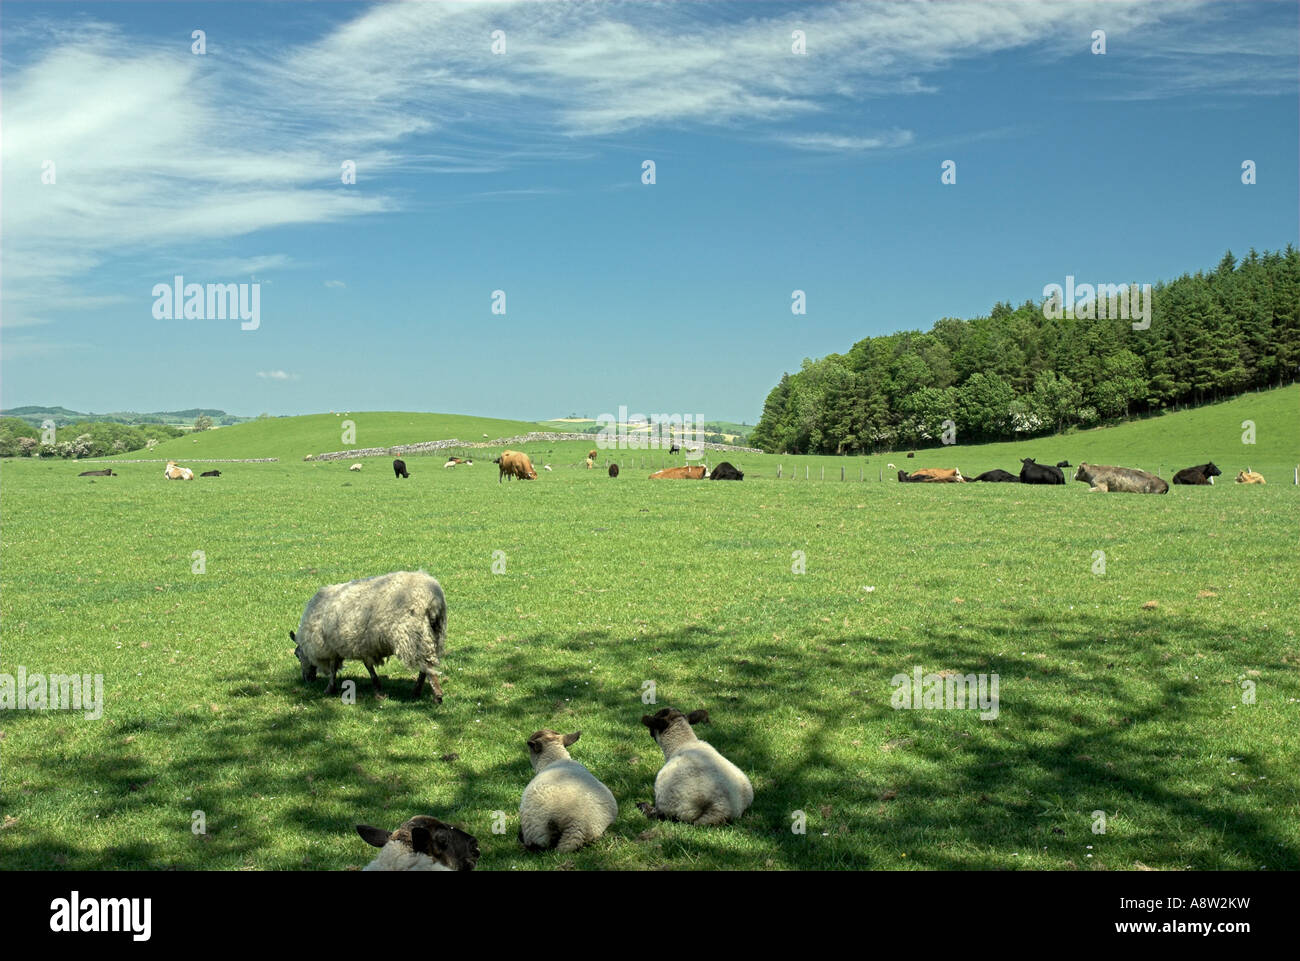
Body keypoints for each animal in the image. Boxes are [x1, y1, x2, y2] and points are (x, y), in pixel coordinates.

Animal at [289, 570, 447, 703]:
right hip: (432, 635)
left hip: (412, 634)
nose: (306, 680)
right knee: (426, 667)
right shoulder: (361, 646)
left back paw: (436, 695)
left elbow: (341, 669)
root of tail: (433, 598)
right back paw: (417, 692)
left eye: (297, 655)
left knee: (426, 666)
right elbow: (365, 667)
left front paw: (329, 689)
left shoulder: (335, 648)